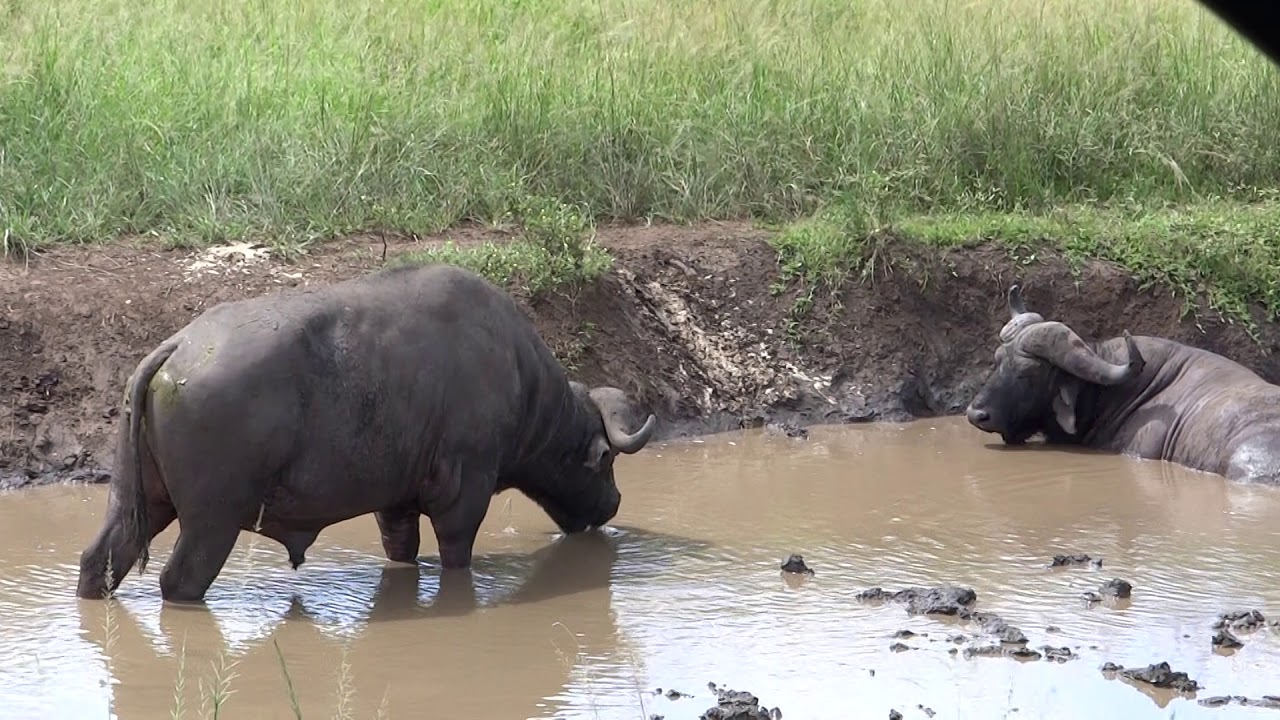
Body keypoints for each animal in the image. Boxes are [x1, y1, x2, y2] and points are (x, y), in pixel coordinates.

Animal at [76, 263, 657, 603]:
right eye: (607, 460)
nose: (614, 503)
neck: (517, 374)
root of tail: (179, 346)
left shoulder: (394, 503)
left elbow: (401, 548)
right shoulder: (463, 497)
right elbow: (456, 552)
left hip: (136, 500)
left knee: (99, 559)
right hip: (211, 522)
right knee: (180, 581)